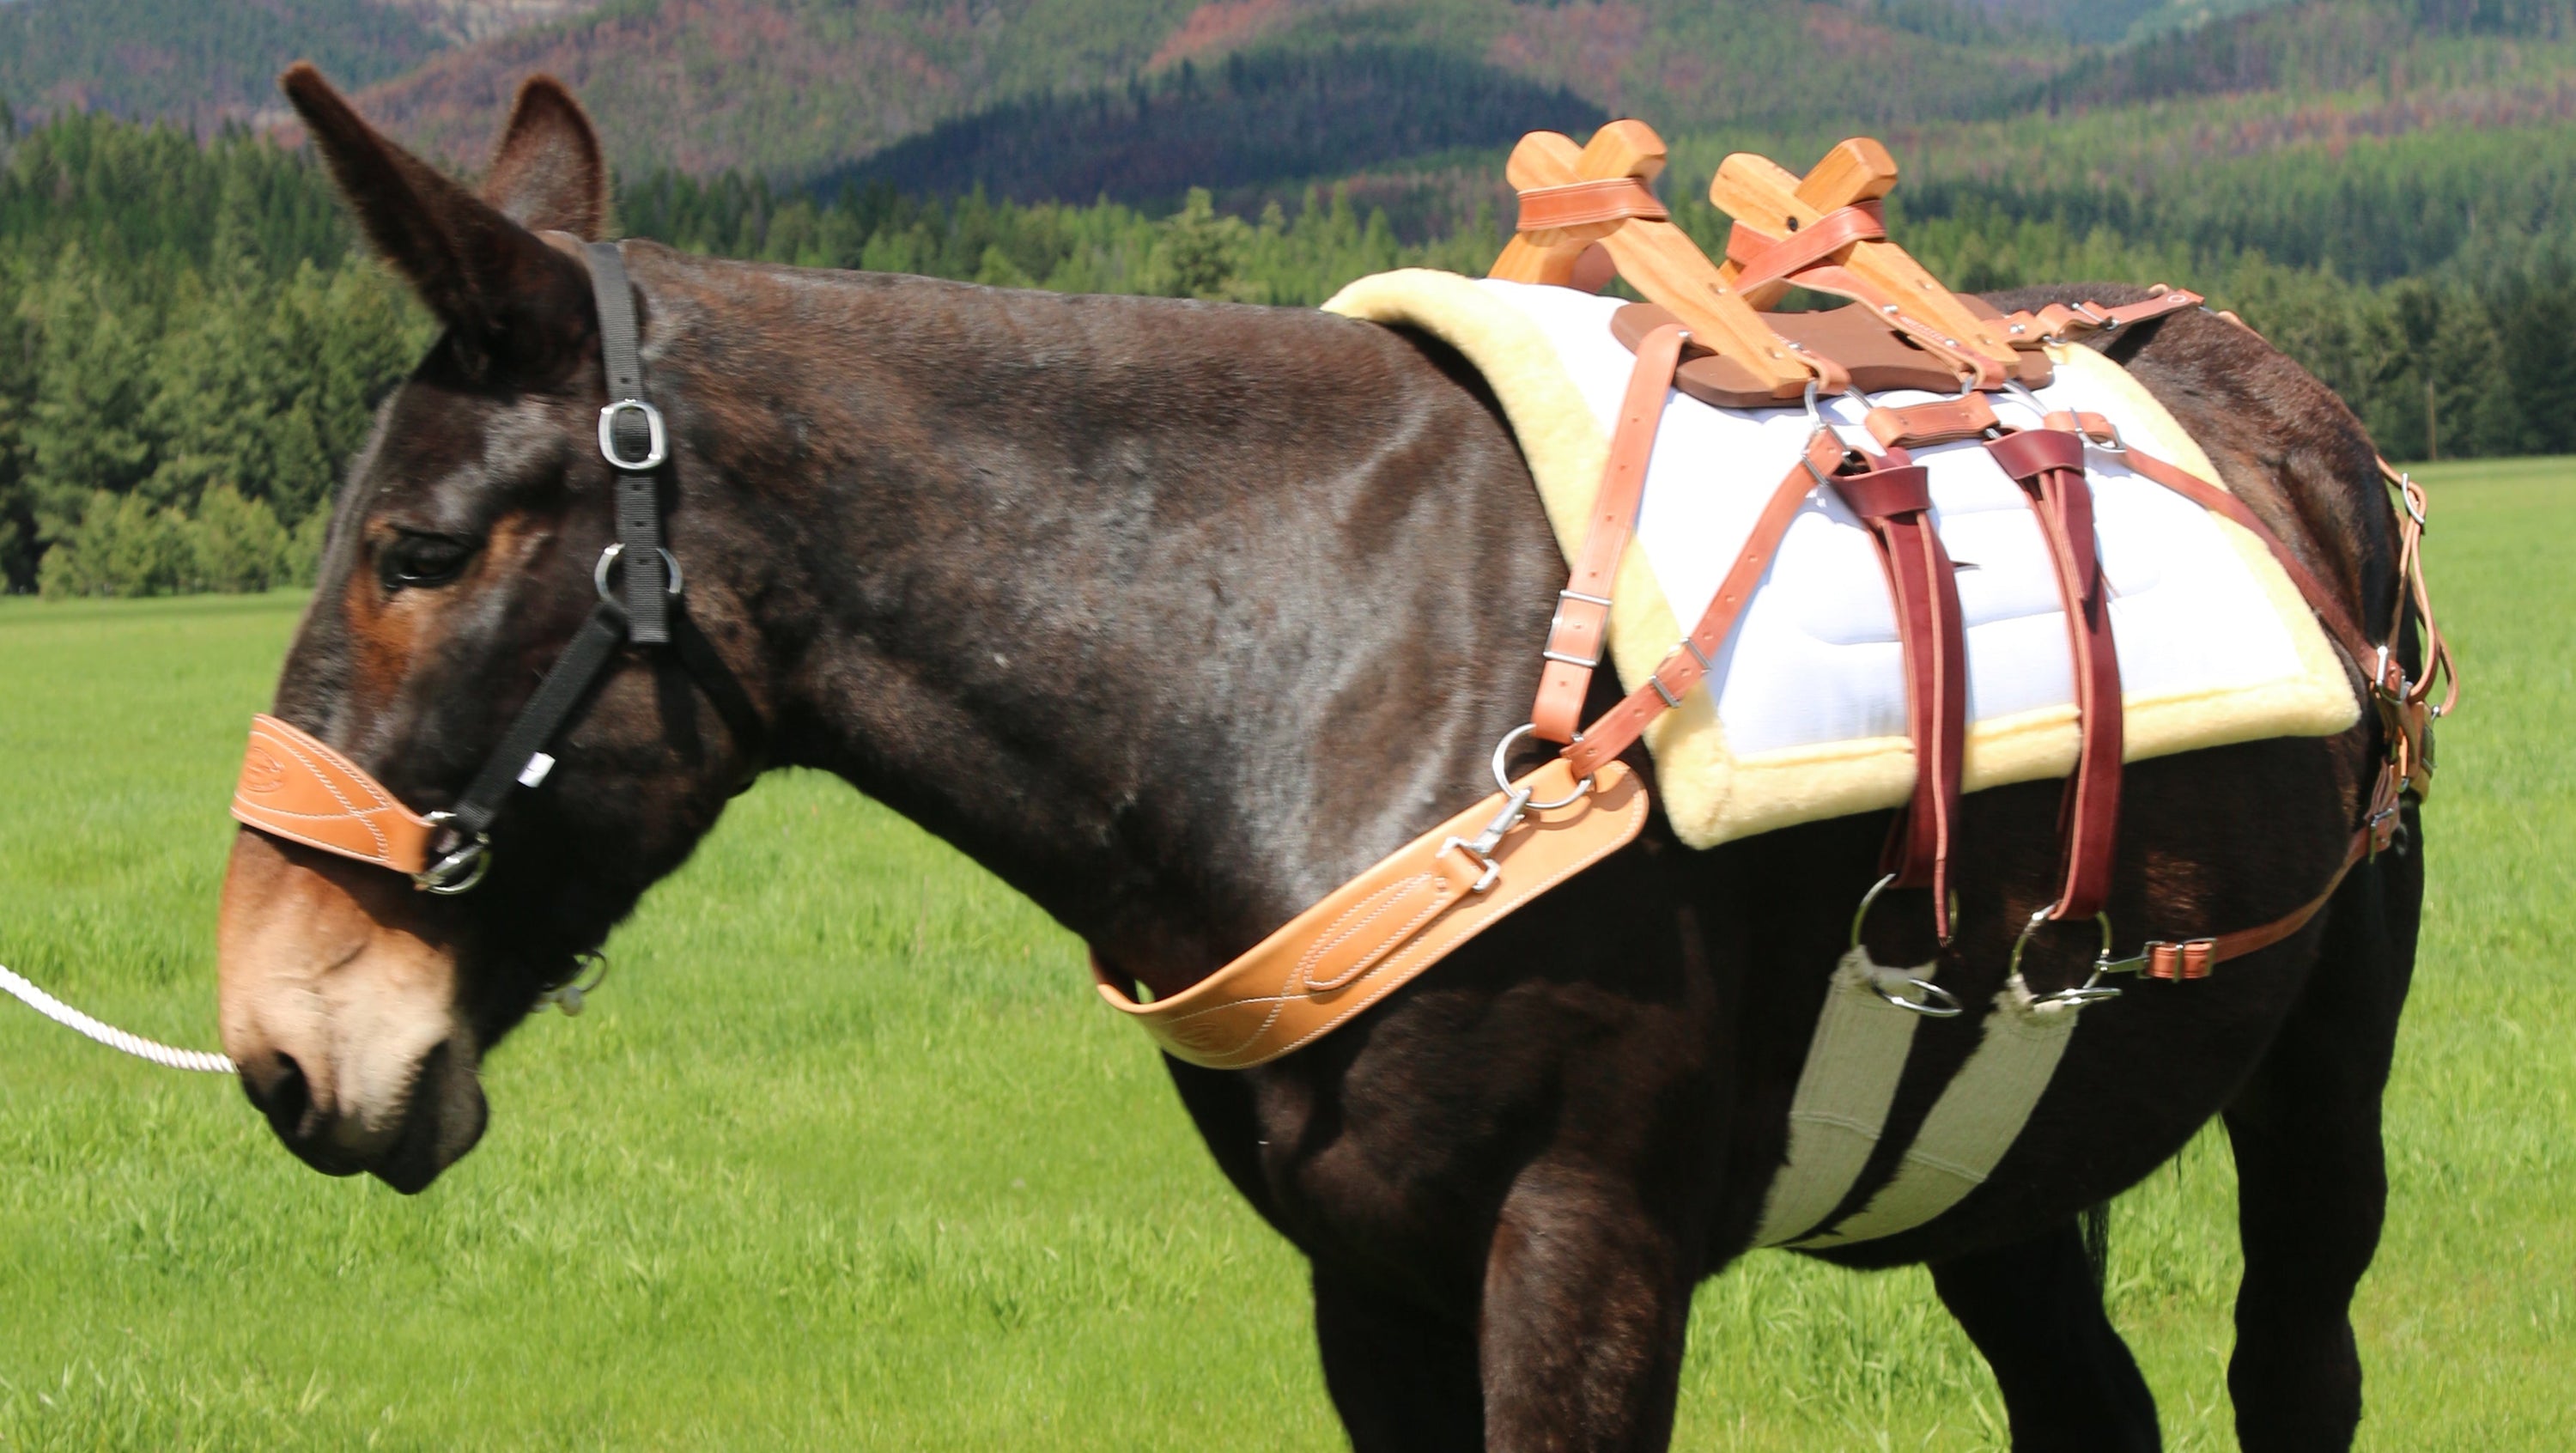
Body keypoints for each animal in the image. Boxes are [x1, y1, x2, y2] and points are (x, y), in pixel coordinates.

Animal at [217, 65, 2426, 1452]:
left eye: (418, 551)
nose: (276, 1034)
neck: (1306, 661)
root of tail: (2275, 392)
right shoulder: (1363, 1275)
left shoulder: (1580, 1237)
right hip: (1997, 1138)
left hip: (2323, 1063)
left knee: (2292, 1365)